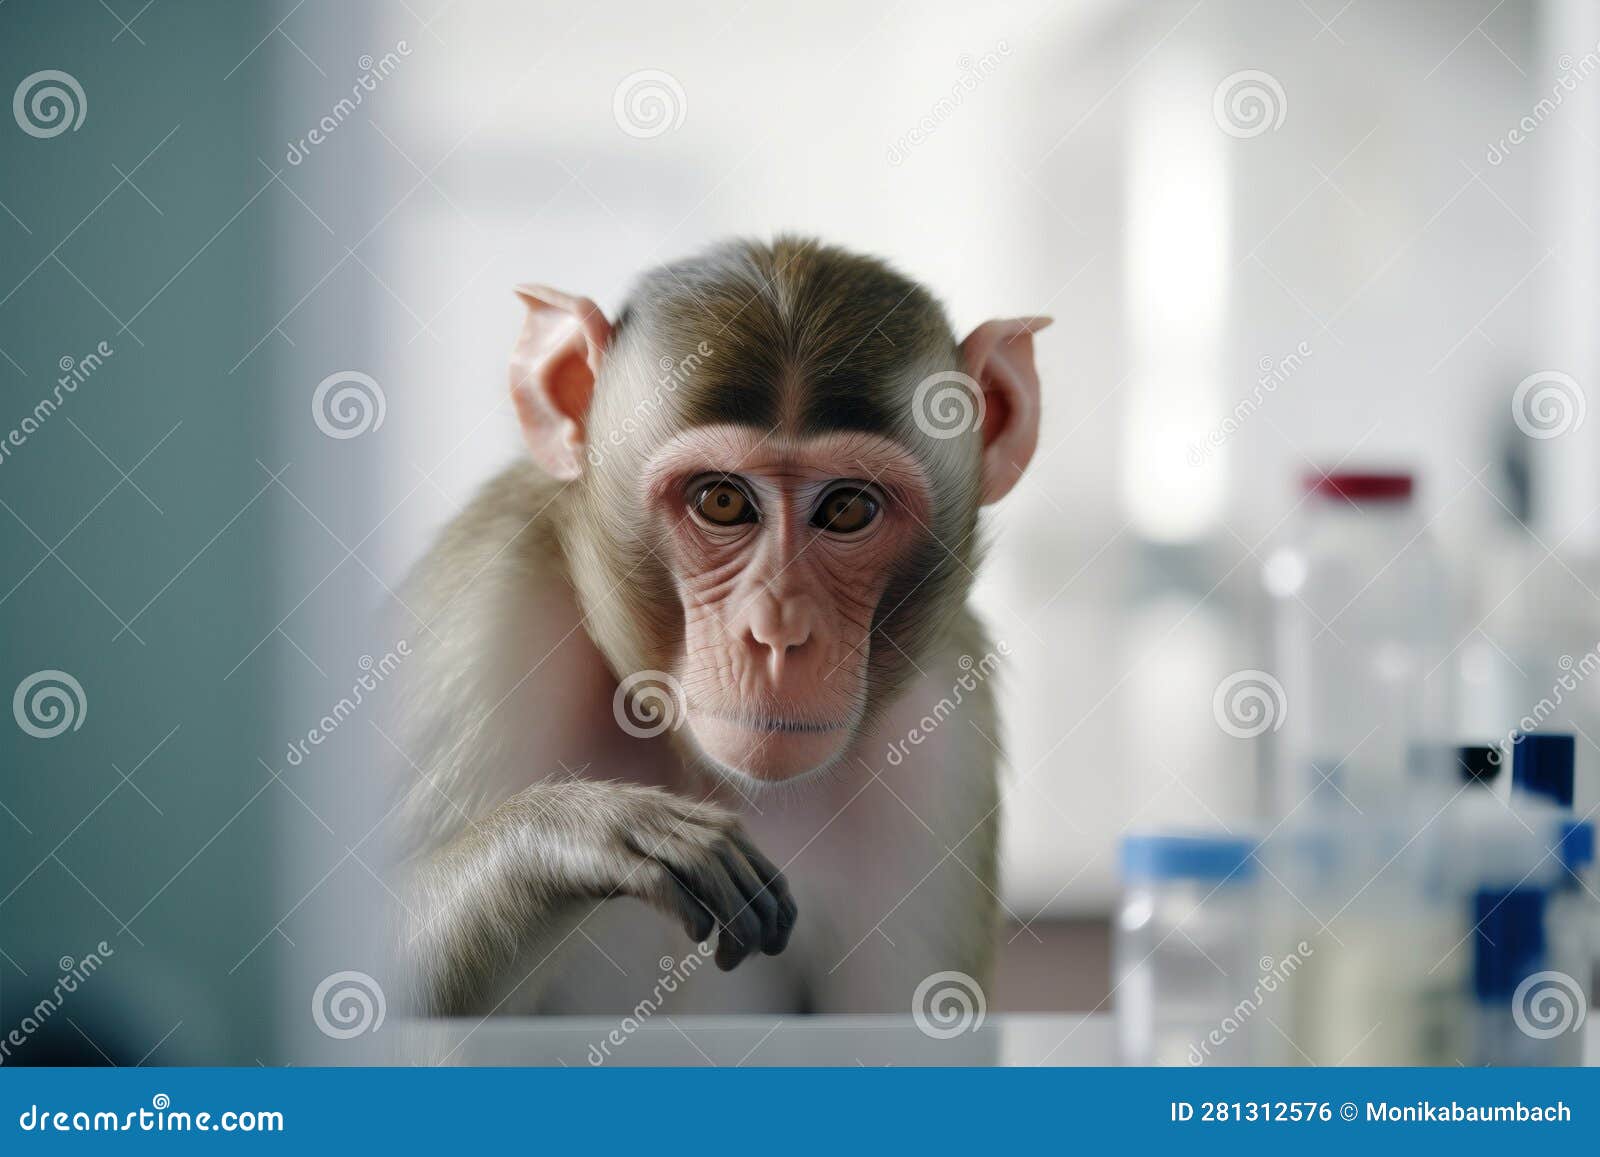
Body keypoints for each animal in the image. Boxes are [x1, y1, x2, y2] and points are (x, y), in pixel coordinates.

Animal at [387, 237, 1048, 1017]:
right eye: (723, 500)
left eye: (848, 508)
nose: (778, 633)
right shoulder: (483, 617)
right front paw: (567, 837)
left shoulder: (944, 748)